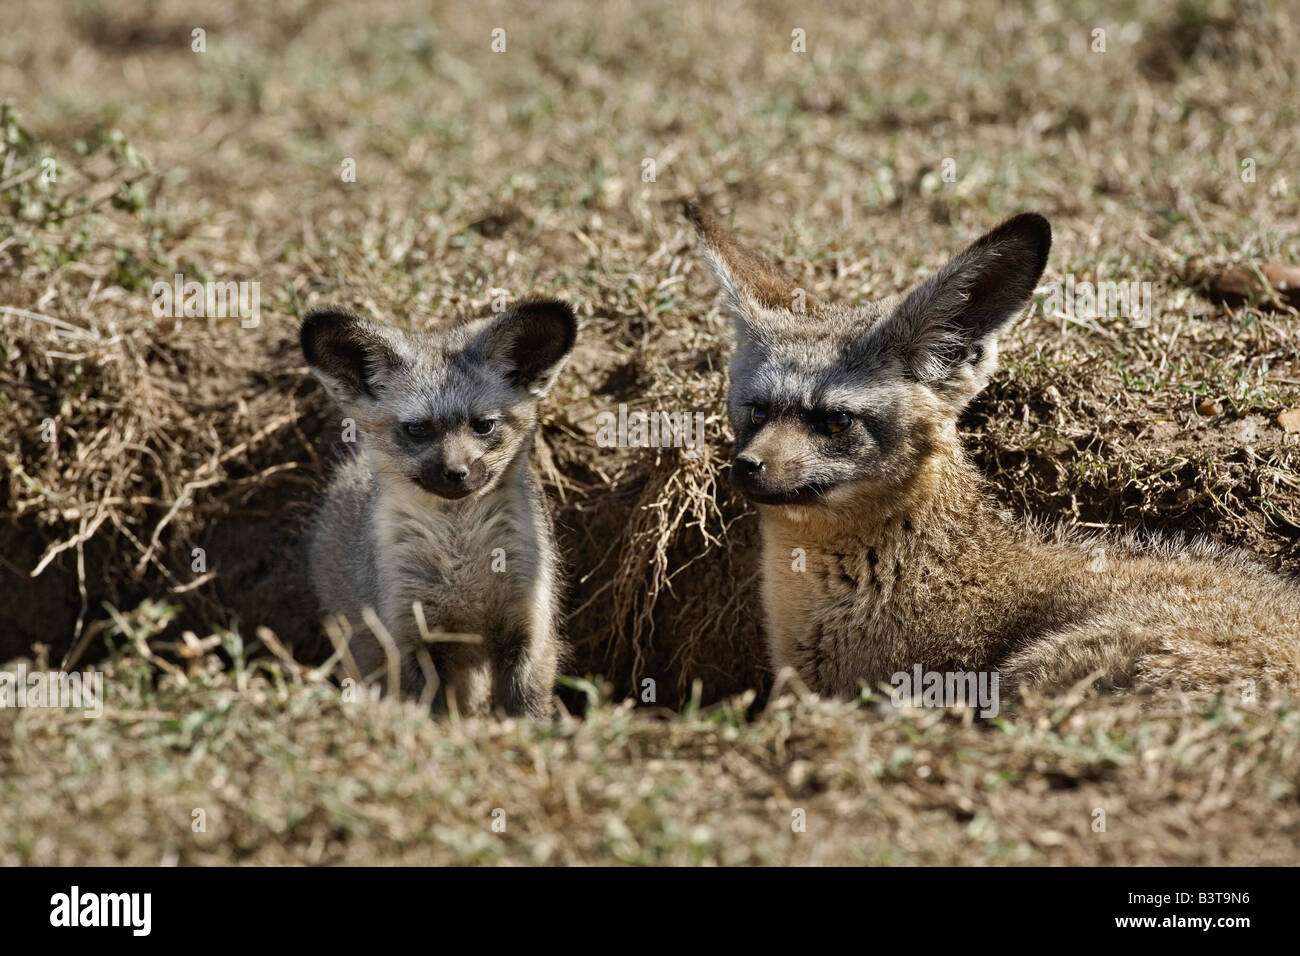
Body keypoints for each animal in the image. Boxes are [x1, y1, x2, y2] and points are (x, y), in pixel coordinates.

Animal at [299, 300, 577, 717]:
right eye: (417, 429)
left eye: (483, 425)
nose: (455, 473)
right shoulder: (407, 638)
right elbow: (429, 712)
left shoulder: (529, 630)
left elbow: (527, 707)